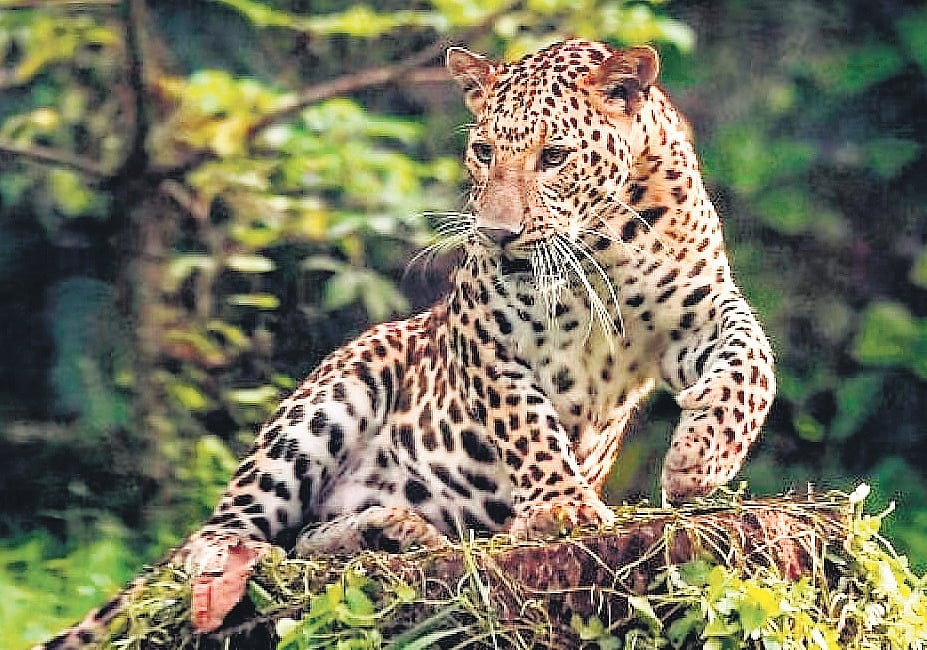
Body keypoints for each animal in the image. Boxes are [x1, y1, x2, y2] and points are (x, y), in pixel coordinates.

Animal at [41, 39, 775, 648]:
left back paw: (393, 529)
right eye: (484, 152)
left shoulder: (702, 308)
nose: (496, 234)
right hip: (335, 392)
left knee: (307, 539)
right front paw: (560, 506)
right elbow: (527, 423)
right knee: (225, 531)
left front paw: (698, 459)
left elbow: (754, 362)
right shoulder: (487, 335)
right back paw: (240, 565)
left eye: (554, 157)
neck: (600, 248)